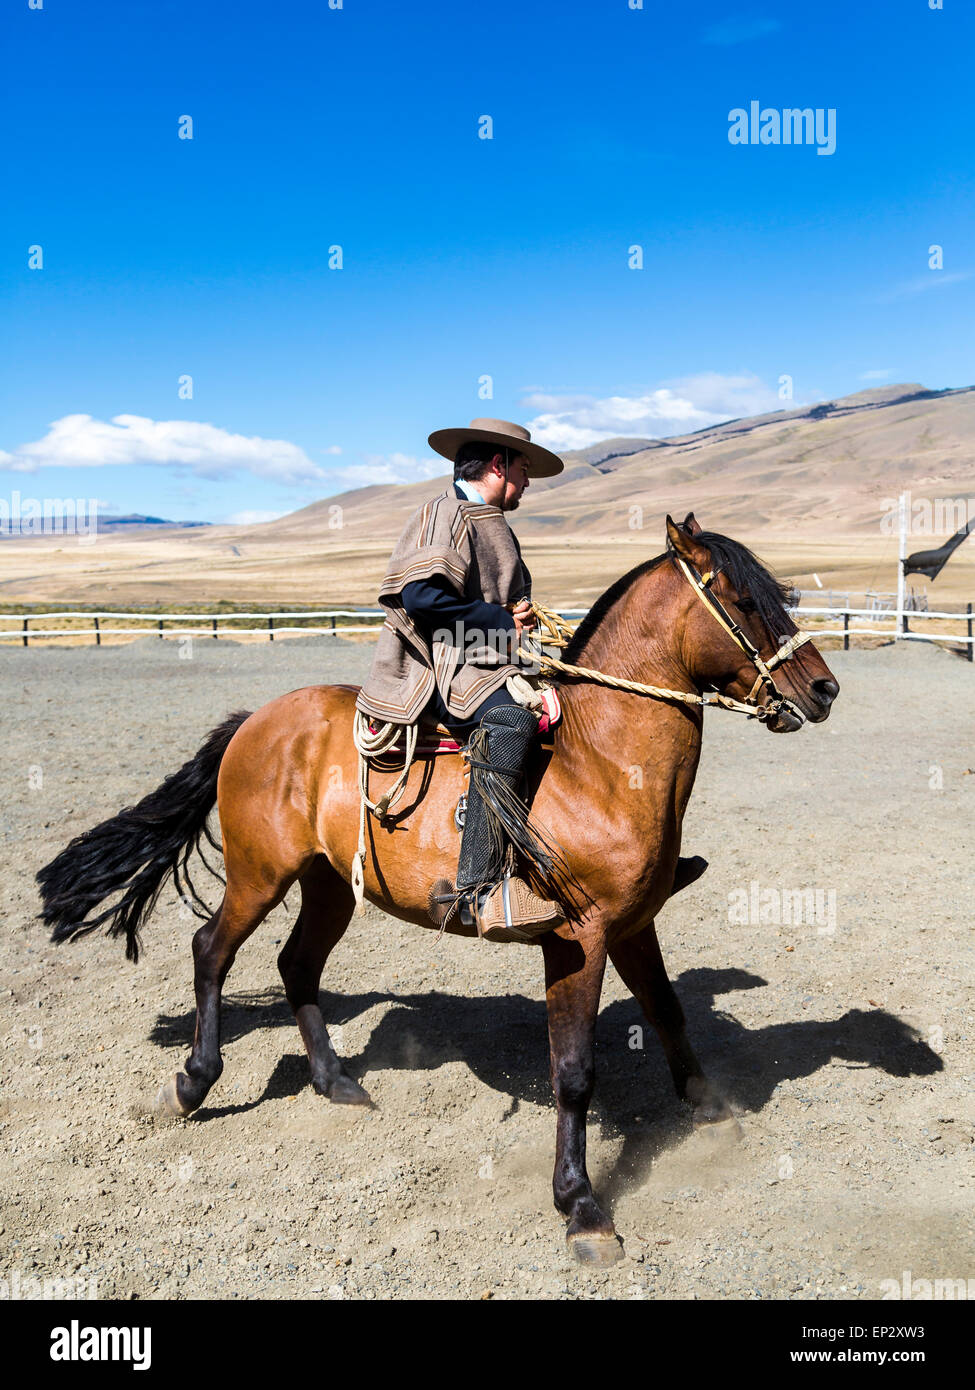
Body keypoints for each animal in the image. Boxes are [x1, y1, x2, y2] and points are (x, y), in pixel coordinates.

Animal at [37, 514, 839, 1265]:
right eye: (745, 599)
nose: (823, 688)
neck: (602, 763)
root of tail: (253, 722)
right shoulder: (576, 939)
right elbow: (574, 1071)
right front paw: (581, 1208)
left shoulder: (634, 924)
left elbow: (668, 1011)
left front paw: (710, 1111)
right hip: (260, 873)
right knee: (211, 950)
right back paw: (193, 1084)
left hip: (329, 884)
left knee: (296, 965)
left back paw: (336, 1082)